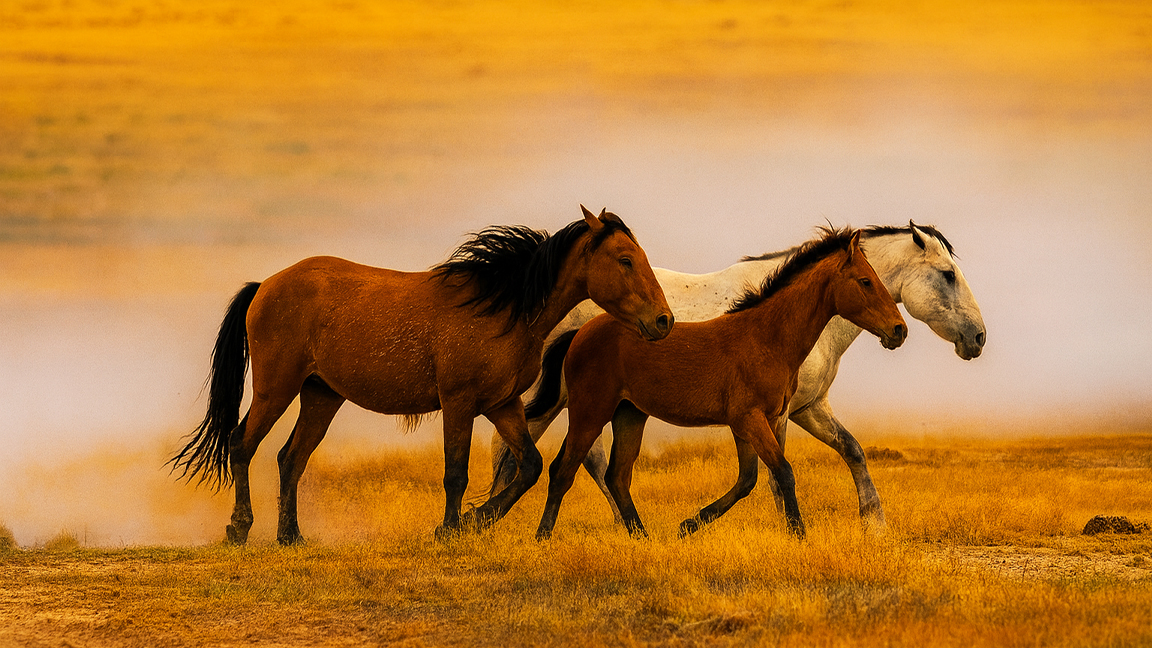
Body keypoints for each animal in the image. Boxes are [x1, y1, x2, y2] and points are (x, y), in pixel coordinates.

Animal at [169, 206, 674, 545]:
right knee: (242, 443)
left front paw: (477, 520)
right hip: (277, 389)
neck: (500, 309)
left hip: (320, 395)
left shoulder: (502, 404)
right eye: (625, 259)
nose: (663, 320)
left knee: (290, 458)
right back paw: (239, 528)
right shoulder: (459, 402)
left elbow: (528, 466)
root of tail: (266, 285)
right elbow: (456, 473)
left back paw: (290, 536)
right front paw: (449, 528)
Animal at [491, 221, 985, 532]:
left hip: (609, 408)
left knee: (591, 464)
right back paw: (489, 518)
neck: (773, 325)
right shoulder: (774, 415)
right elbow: (778, 471)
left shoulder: (804, 407)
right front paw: (792, 529)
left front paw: (873, 524)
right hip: (565, 401)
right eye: (947, 275)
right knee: (521, 454)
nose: (978, 338)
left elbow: (851, 452)